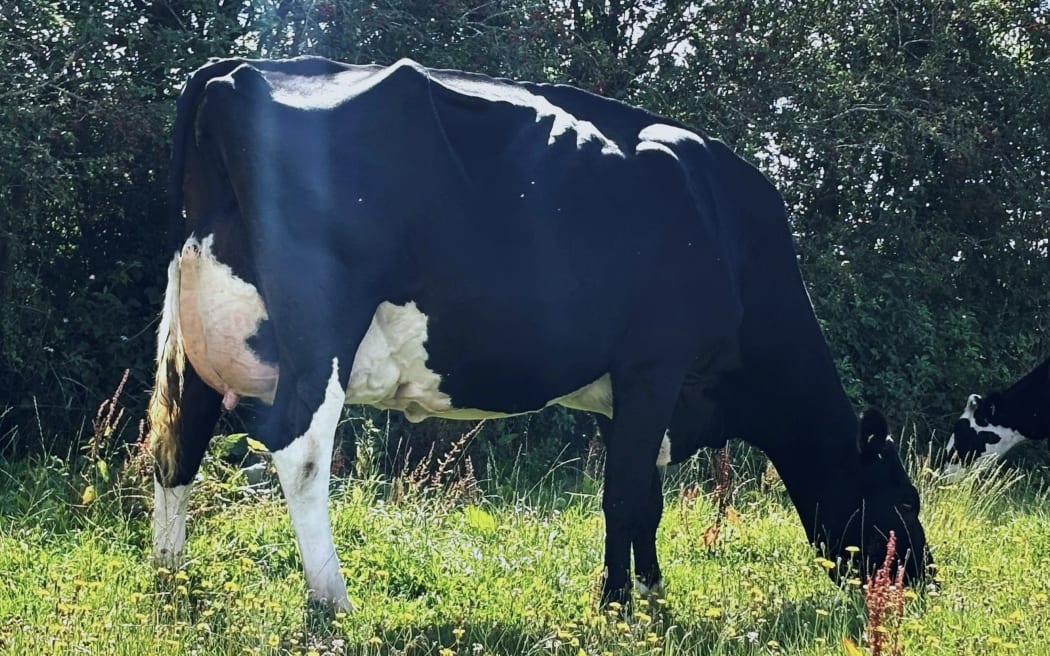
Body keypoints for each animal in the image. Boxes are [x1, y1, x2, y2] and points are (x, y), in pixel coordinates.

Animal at [146, 56, 932, 611]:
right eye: (905, 501)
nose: (924, 584)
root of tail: (232, 70)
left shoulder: (634, 392)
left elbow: (644, 498)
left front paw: (650, 592)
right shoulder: (656, 365)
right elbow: (626, 496)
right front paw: (619, 606)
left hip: (195, 340)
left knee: (176, 448)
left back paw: (169, 579)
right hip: (321, 335)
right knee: (300, 454)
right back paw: (333, 601)